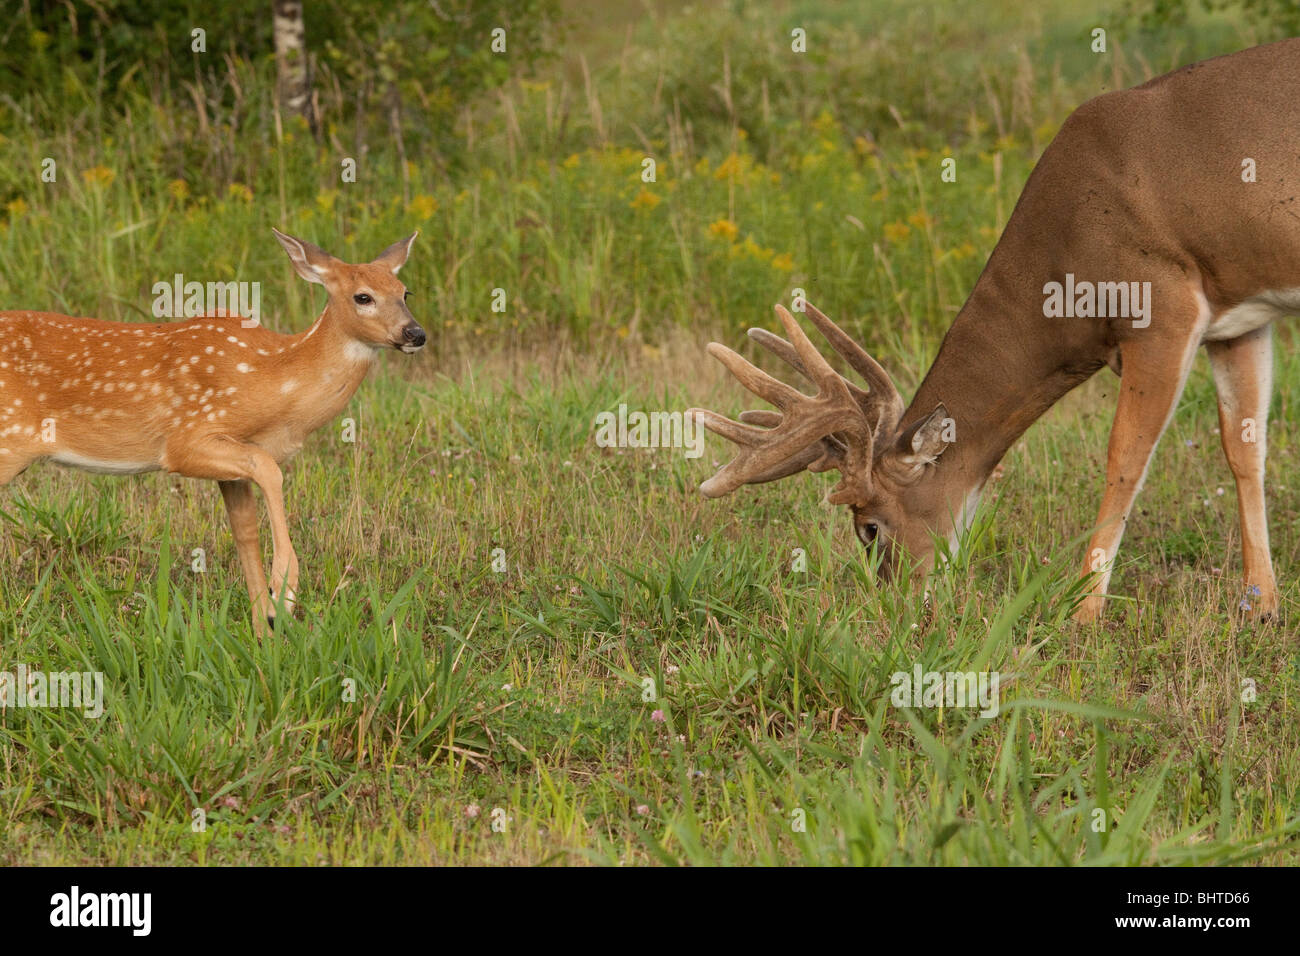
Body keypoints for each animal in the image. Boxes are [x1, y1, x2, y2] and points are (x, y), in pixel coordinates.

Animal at [0, 229, 425, 637]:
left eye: (405, 292)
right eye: (363, 296)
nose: (415, 333)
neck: (274, 383)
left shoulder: (231, 467)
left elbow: (245, 531)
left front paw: (264, 630)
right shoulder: (188, 438)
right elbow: (270, 469)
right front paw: (284, 592)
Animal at [689, 38, 1300, 625]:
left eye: (870, 527)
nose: (895, 602)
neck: (1067, 248)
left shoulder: (1161, 308)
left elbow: (1125, 459)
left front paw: (1082, 609)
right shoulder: (1238, 319)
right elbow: (1244, 449)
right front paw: (1260, 605)